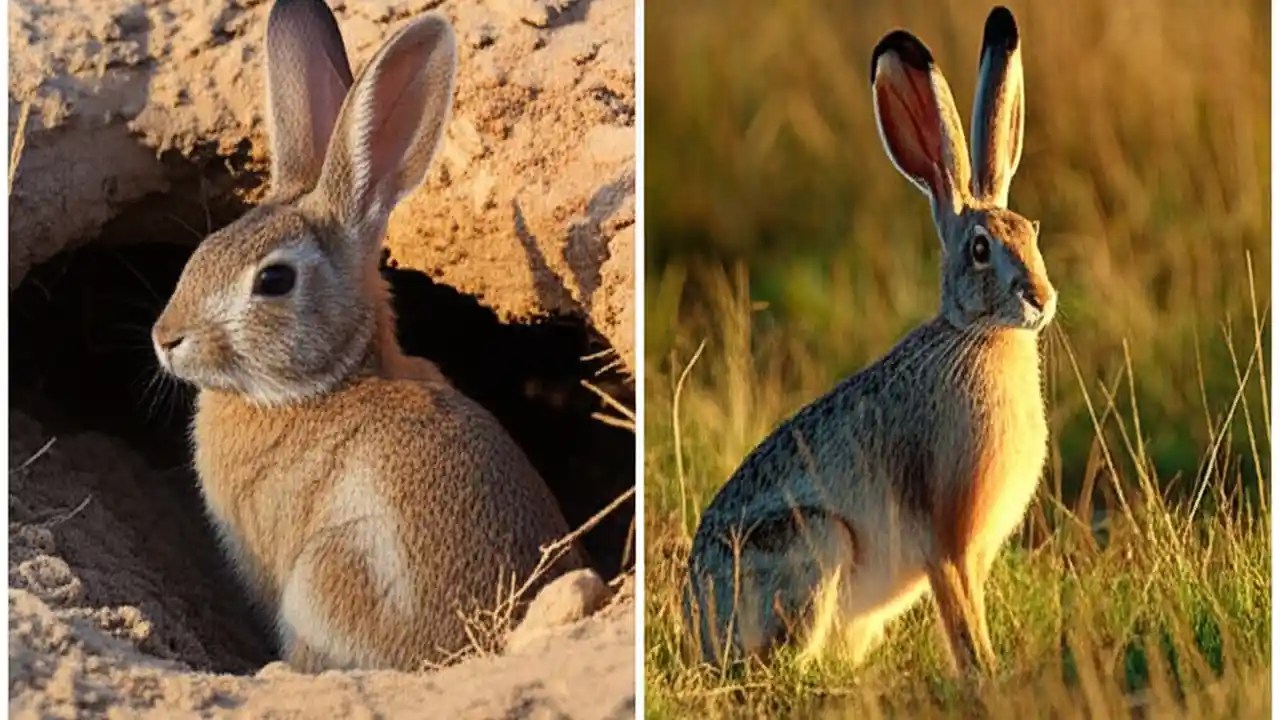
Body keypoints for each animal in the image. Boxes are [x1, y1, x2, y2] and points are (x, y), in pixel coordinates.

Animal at [684, 6, 1054, 675]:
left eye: (1033, 232)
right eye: (980, 249)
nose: (1040, 297)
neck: (977, 334)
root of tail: (695, 621)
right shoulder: (948, 538)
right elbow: (962, 616)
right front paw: (986, 675)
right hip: (816, 542)